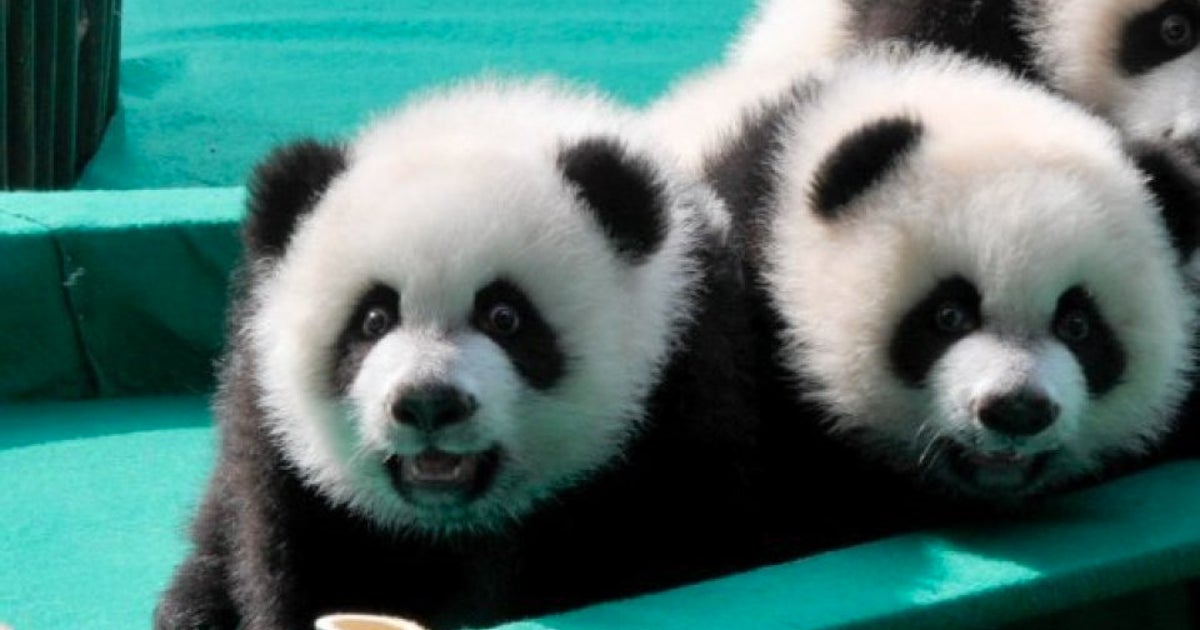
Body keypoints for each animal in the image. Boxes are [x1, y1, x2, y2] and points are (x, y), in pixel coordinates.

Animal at [154, 78, 760, 630]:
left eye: (505, 316)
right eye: (374, 319)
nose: (428, 403)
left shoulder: (680, 403)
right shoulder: (278, 446)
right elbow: (299, 560)